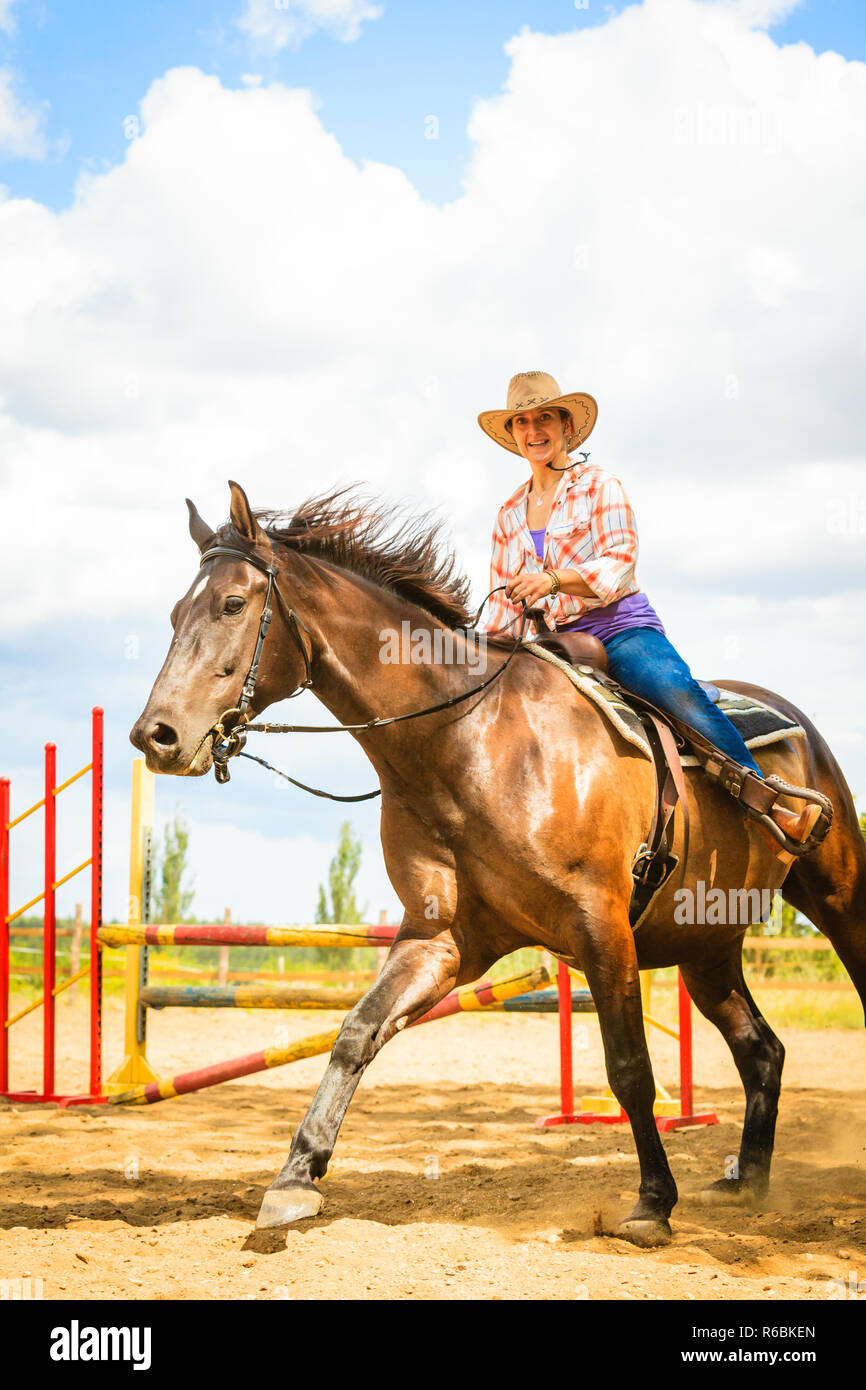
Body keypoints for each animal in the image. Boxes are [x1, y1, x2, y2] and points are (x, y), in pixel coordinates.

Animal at [130, 480, 866, 1247]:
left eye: (231, 605)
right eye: (177, 612)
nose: (156, 735)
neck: (471, 739)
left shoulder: (602, 928)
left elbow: (630, 1068)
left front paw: (651, 1204)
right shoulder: (442, 938)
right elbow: (356, 1033)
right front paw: (295, 1179)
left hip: (838, 898)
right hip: (706, 944)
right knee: (761, 1050)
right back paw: (745, 1181)